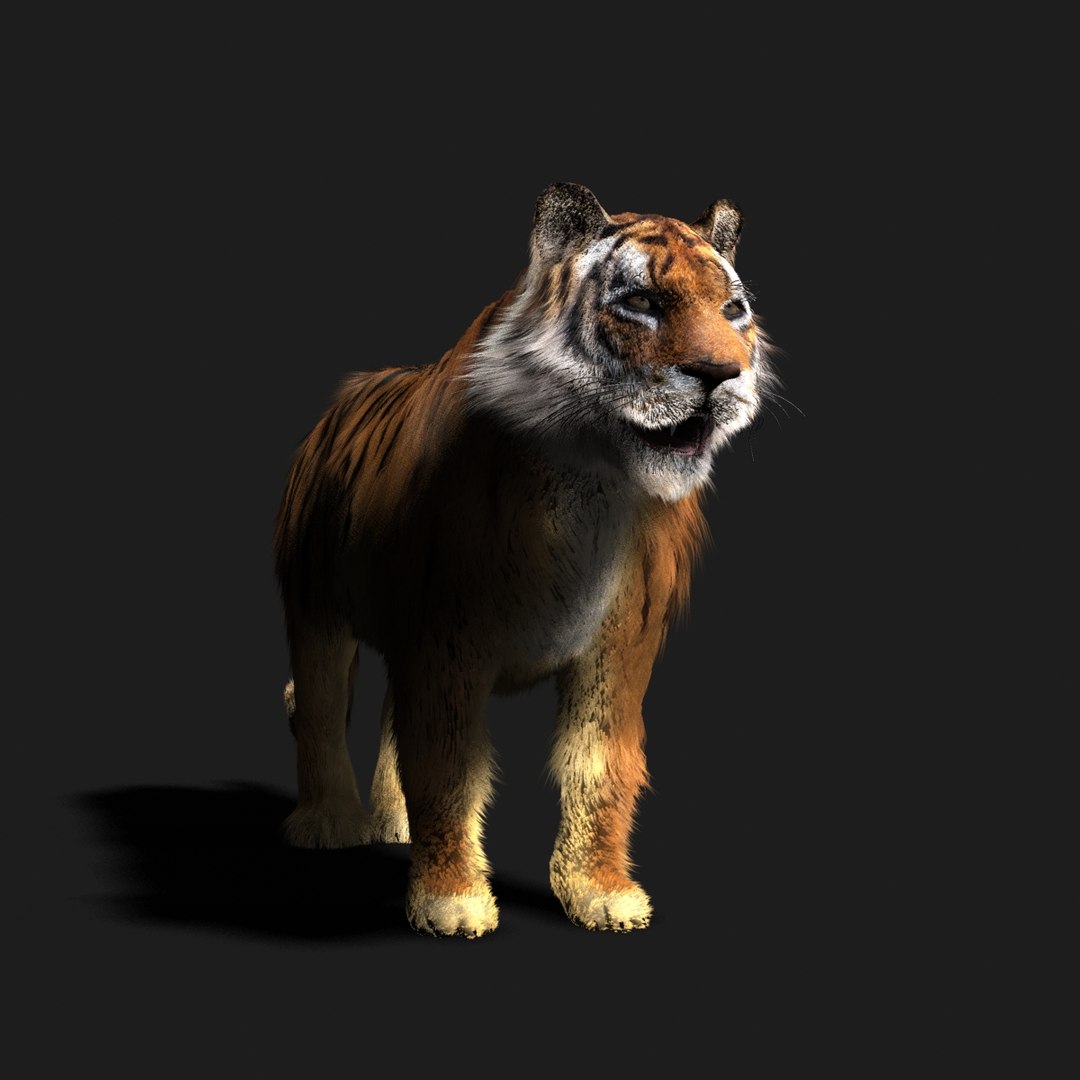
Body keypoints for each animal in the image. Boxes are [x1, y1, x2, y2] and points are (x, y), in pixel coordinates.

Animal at [273, 182, 776, 937]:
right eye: (642, 302)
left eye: (732, 310)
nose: (723, 376)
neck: (592, 476)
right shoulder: (446, 637)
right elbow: (447, 764)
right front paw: (452, 901)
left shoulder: (617, 646)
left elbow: (599, 767)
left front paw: (602, 892)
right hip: (315, 607)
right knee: (324, 707)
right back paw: (332, 822)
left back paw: (395, 824)